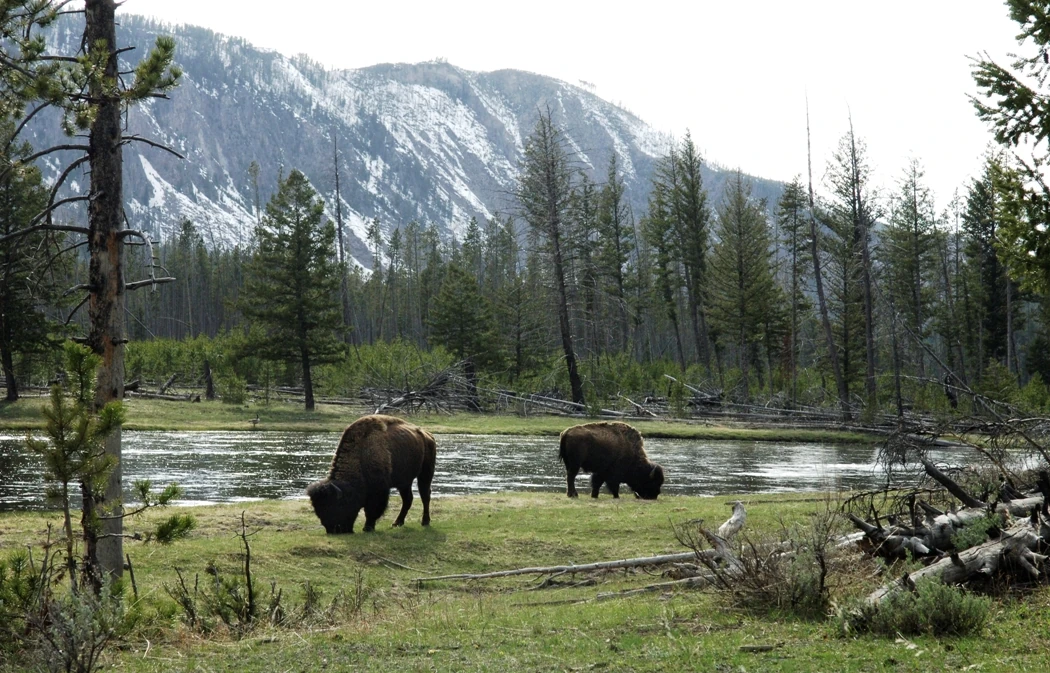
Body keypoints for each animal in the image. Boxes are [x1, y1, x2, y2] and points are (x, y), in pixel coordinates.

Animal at [306, 414, 436, 534]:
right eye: (318, 511)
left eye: (336, 506)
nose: (333, 530)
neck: (360, 454)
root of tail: (428, 435)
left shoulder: (379, 490)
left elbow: (372, 509)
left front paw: (368, 527)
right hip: (404, 482)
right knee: (408, 499)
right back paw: (397, 523)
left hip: (425, 474)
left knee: (425, 496)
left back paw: (425, 522)